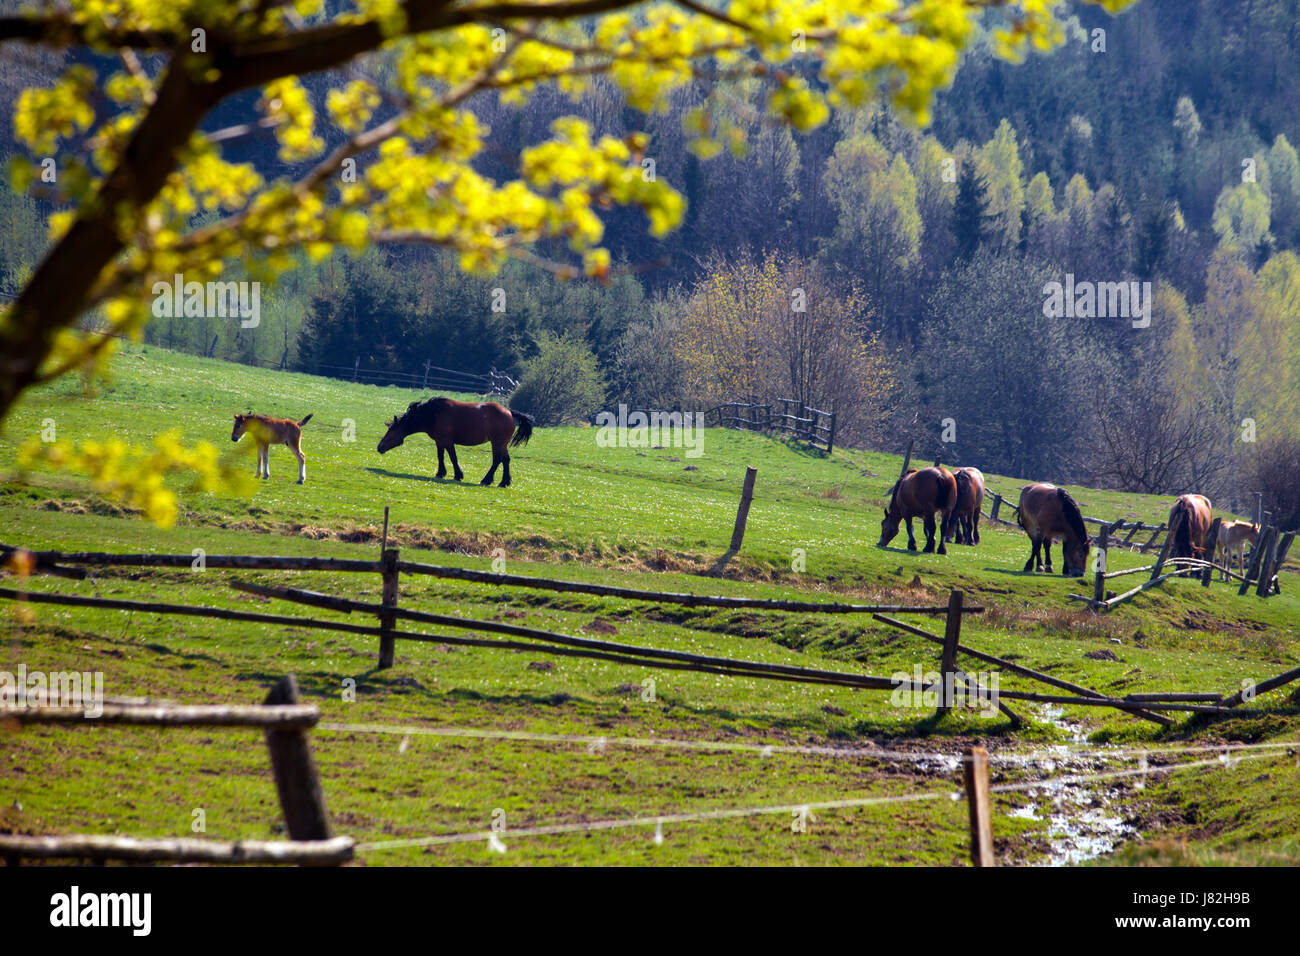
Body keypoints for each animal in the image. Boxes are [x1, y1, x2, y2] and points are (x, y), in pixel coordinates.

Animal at [377, 396, 534, 487]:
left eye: (390, 433)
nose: (379, 447)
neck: (432, 414)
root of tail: (510, 412)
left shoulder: (447, 441)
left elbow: (453, 457)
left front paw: (458, 475)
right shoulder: (439, 441)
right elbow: (440, 457)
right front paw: (440, 473)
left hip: (497, 443)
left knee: (497, 460)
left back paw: (487, 480)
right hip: (502, 444)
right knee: (505, 460)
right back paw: (504, 482)